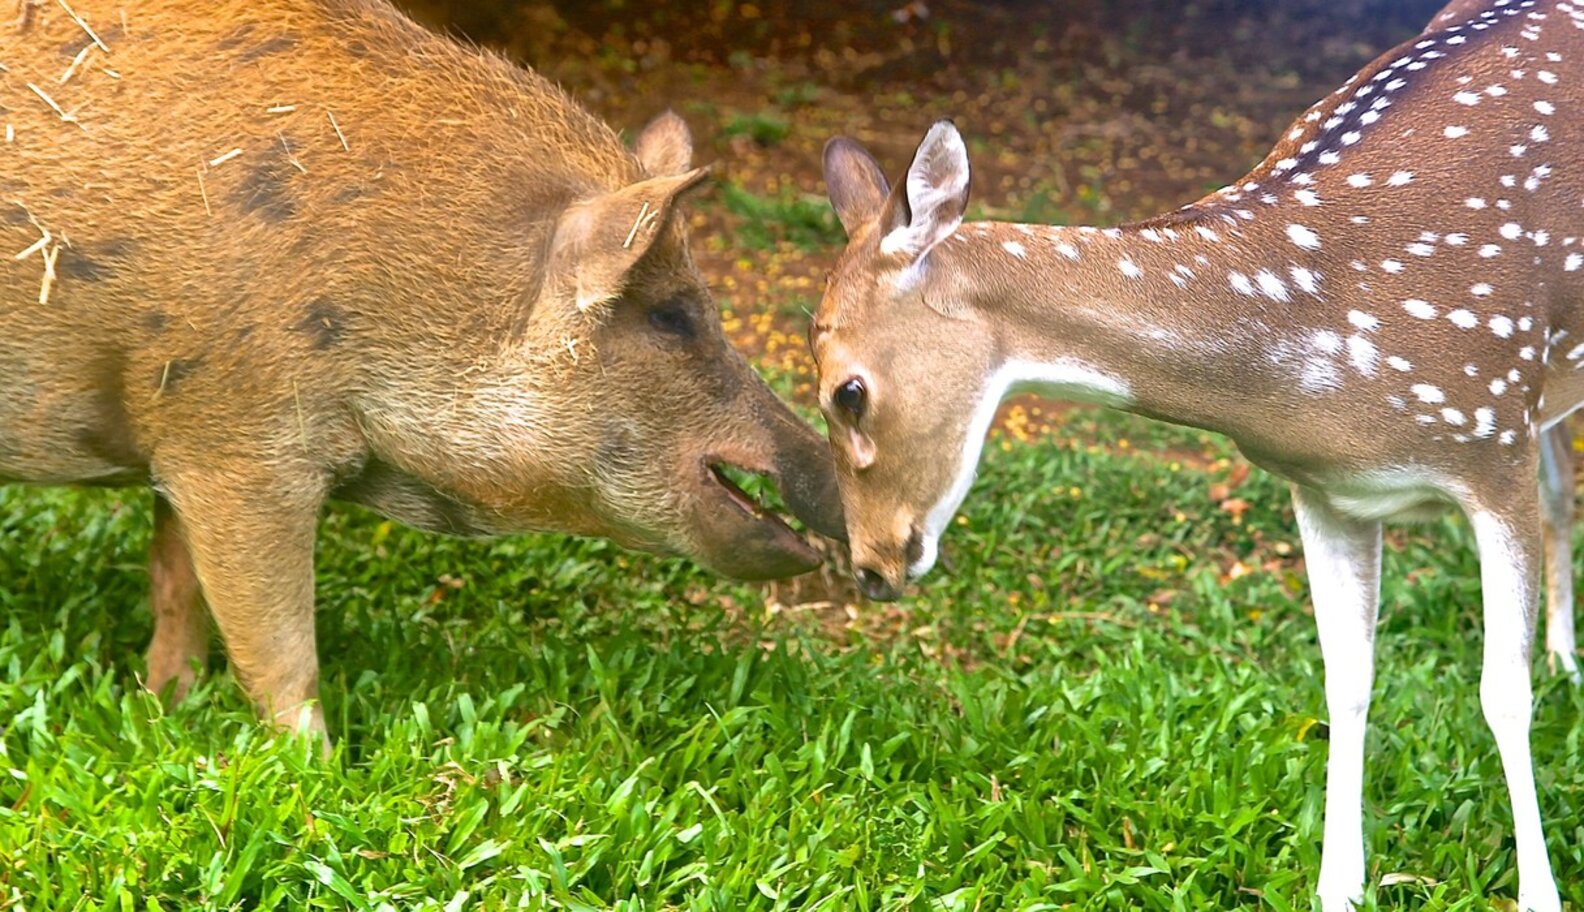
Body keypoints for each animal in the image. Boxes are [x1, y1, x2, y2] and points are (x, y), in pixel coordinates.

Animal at [0, 0, 845, 738]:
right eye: (672, 316)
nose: (837, 477)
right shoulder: (237, 452)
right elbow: (276, 650)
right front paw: (318, 767)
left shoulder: (178, 433)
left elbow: (176, 587)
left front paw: (164, 705)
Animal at [811, 1, 1580, 909]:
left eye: (846, 392)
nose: (872, 565)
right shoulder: (1330, 488)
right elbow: (1346, 680)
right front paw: (1338, 887)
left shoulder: (1491, 435)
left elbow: (1502, 693)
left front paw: (1540, 894)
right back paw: (1569, 658)